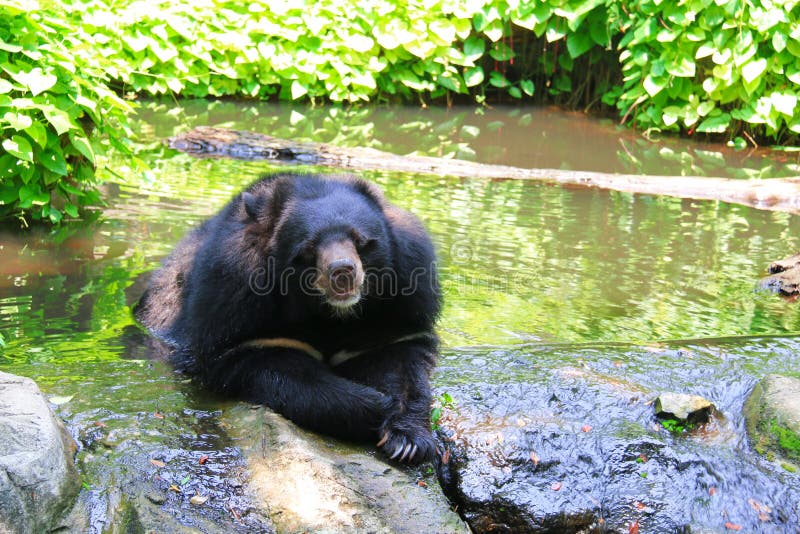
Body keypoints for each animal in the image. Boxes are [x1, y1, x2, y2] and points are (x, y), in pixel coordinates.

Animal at [134, 173, 441, 463]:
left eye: (360, 241)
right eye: (310, 248)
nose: (343, 272)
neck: (332, 313)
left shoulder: (397, 306)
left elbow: (397, 360)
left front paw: (408, 441)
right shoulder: (235, 306)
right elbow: (277, 369)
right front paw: (375, 405)